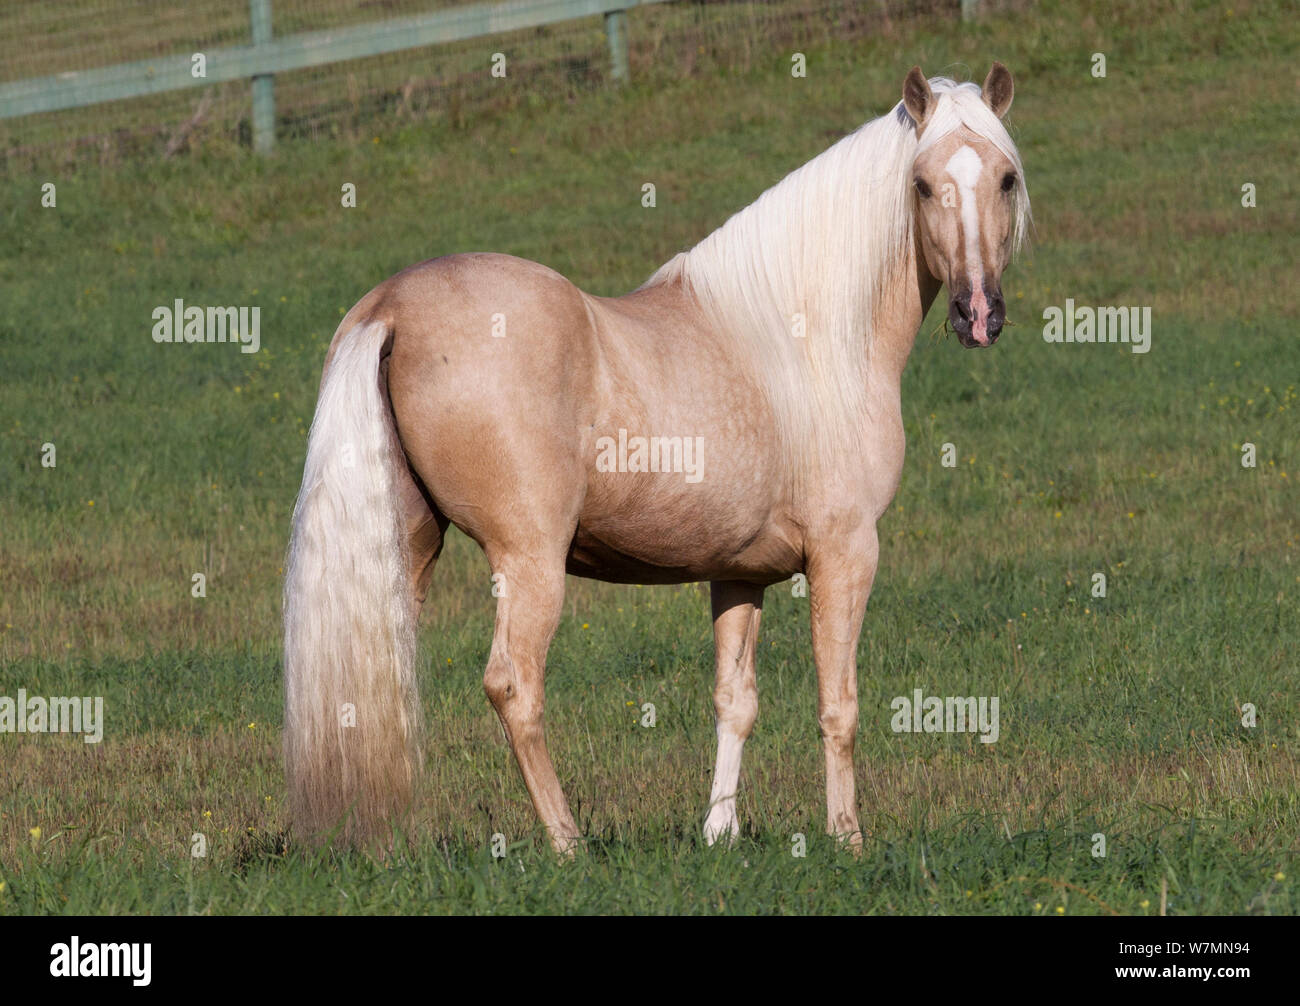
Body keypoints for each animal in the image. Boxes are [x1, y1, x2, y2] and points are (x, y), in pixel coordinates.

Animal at [283, 64, 1031, 854]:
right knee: (514, 686)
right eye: (921, 184)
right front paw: (846, 838)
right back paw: (568, 843)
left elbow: (735, 701)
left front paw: (719, 832)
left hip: (410, 549)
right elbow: (839, 704)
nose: (979, 314)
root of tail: (392, 307)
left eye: (1006, 178)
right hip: (529, 560)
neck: (802, 341)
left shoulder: (739, 573)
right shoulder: (845, 551)